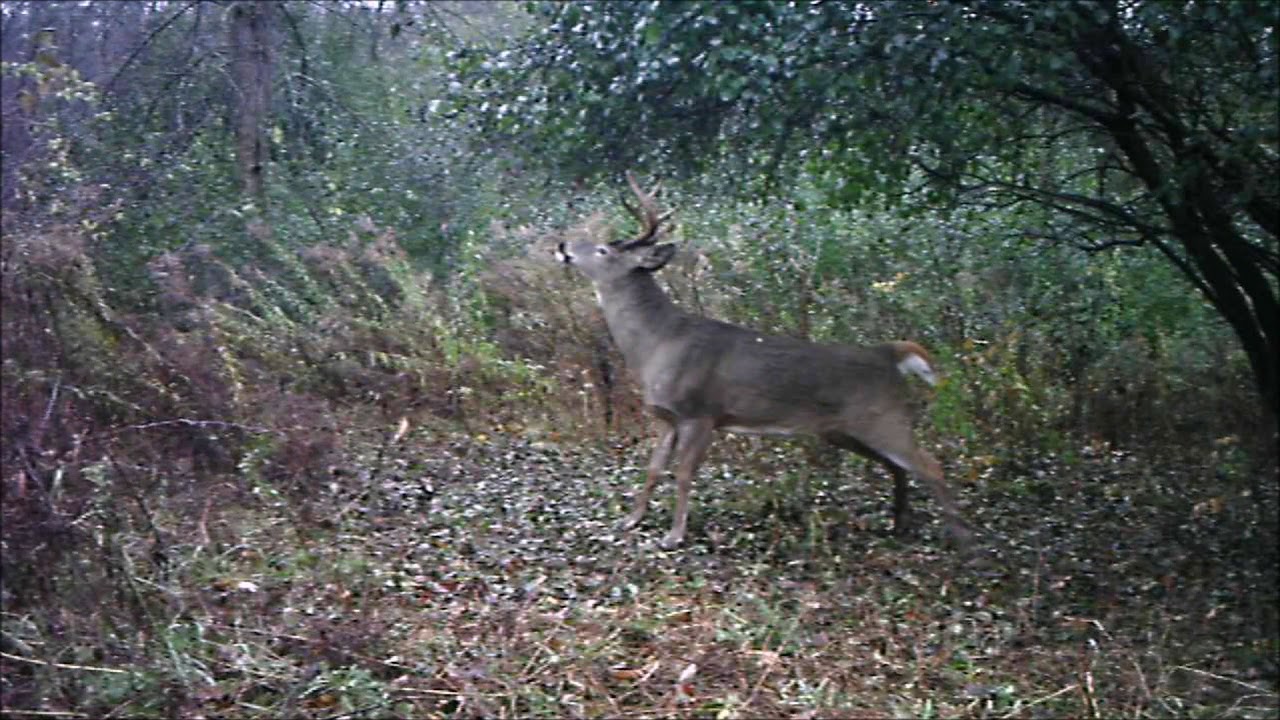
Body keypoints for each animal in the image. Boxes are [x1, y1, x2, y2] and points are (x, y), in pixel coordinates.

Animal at [554, 173, 972, 550]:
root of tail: (888, 354)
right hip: (846, 429)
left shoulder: (701, 412)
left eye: (604, 251)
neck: (658, 343)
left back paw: (962, 540)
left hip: (885, 417)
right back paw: (898, 524)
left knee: (931, 466)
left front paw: (673, 536)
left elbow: (684, 473)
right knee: (898, 466)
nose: (563, 245)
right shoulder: (666, 415)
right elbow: (654, 468)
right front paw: (631, 520)